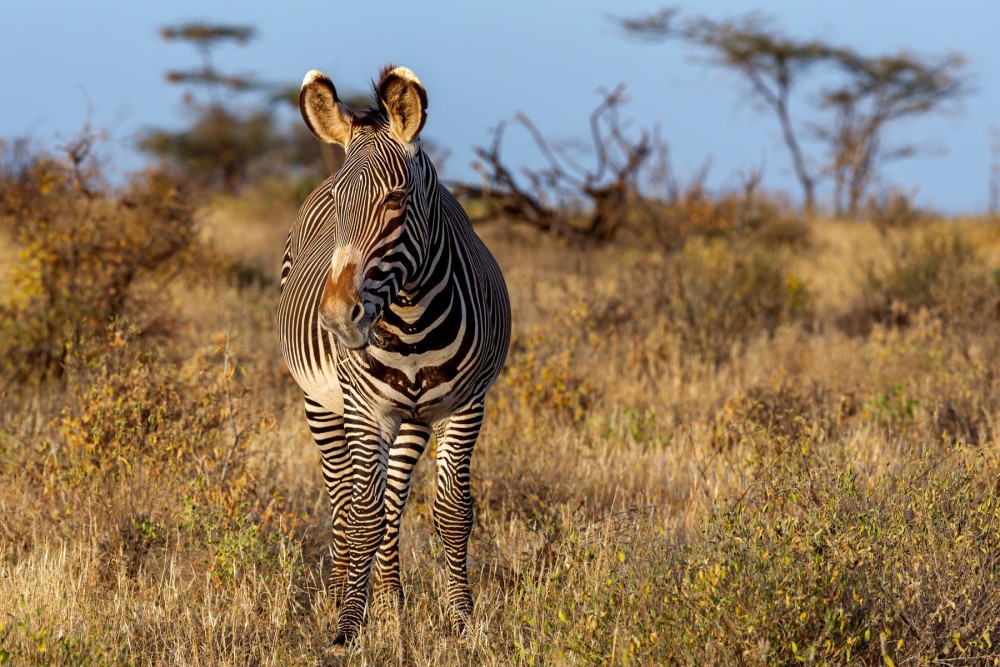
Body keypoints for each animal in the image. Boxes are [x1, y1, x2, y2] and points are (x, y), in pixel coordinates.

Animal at [276, 64, 511, 644]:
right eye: (341, 204)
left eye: (396, 201)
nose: (338, 318)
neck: (410, 319)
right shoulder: (365, 409)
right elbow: (361, 514)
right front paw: (346, 629)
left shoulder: (464, 407)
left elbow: (450, 512)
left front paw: (461, 621)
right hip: (322, 403)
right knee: (343, 498)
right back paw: (343, 592)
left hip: (412, 419)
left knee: (392, 503)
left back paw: (390, 602)